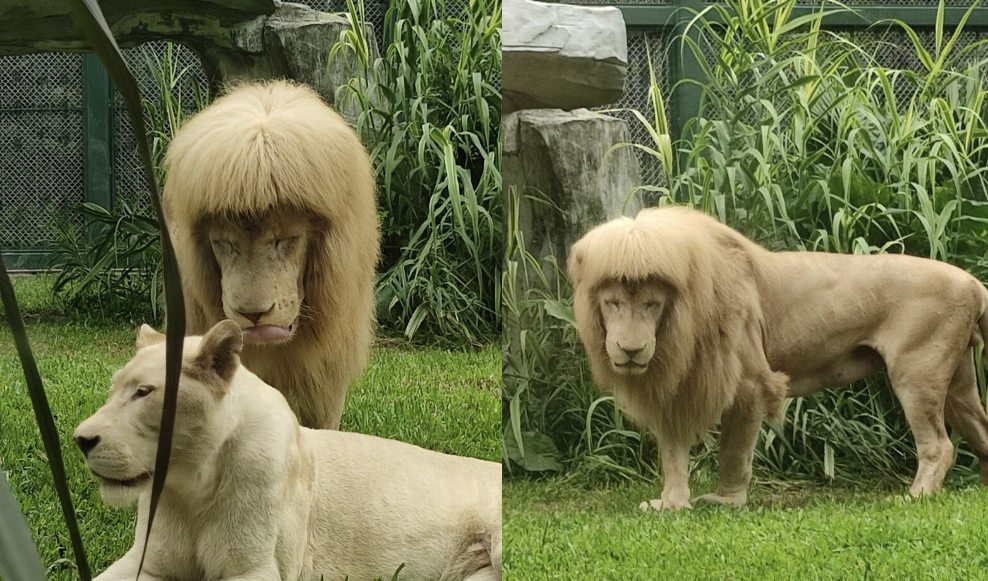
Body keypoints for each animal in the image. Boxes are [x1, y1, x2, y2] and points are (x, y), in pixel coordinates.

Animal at [73, 320, 502, 581]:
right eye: (113, 389)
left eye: (144, 392)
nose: (80, 439)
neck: (191, 484)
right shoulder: (148, 563)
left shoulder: (256, 569)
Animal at [568, 206, 988, 511]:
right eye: (613, 303)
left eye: (652, 304)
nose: (630, 349)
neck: (678, 325)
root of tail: (972, 282)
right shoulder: (676, 388)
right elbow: (673, 454)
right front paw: (670, 504)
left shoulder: (750, 384)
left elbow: (733, 451)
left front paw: (726, 501)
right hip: (959, 384)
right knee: (980, 429)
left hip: (917, 374)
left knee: (939, 445)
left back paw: (916, 495)